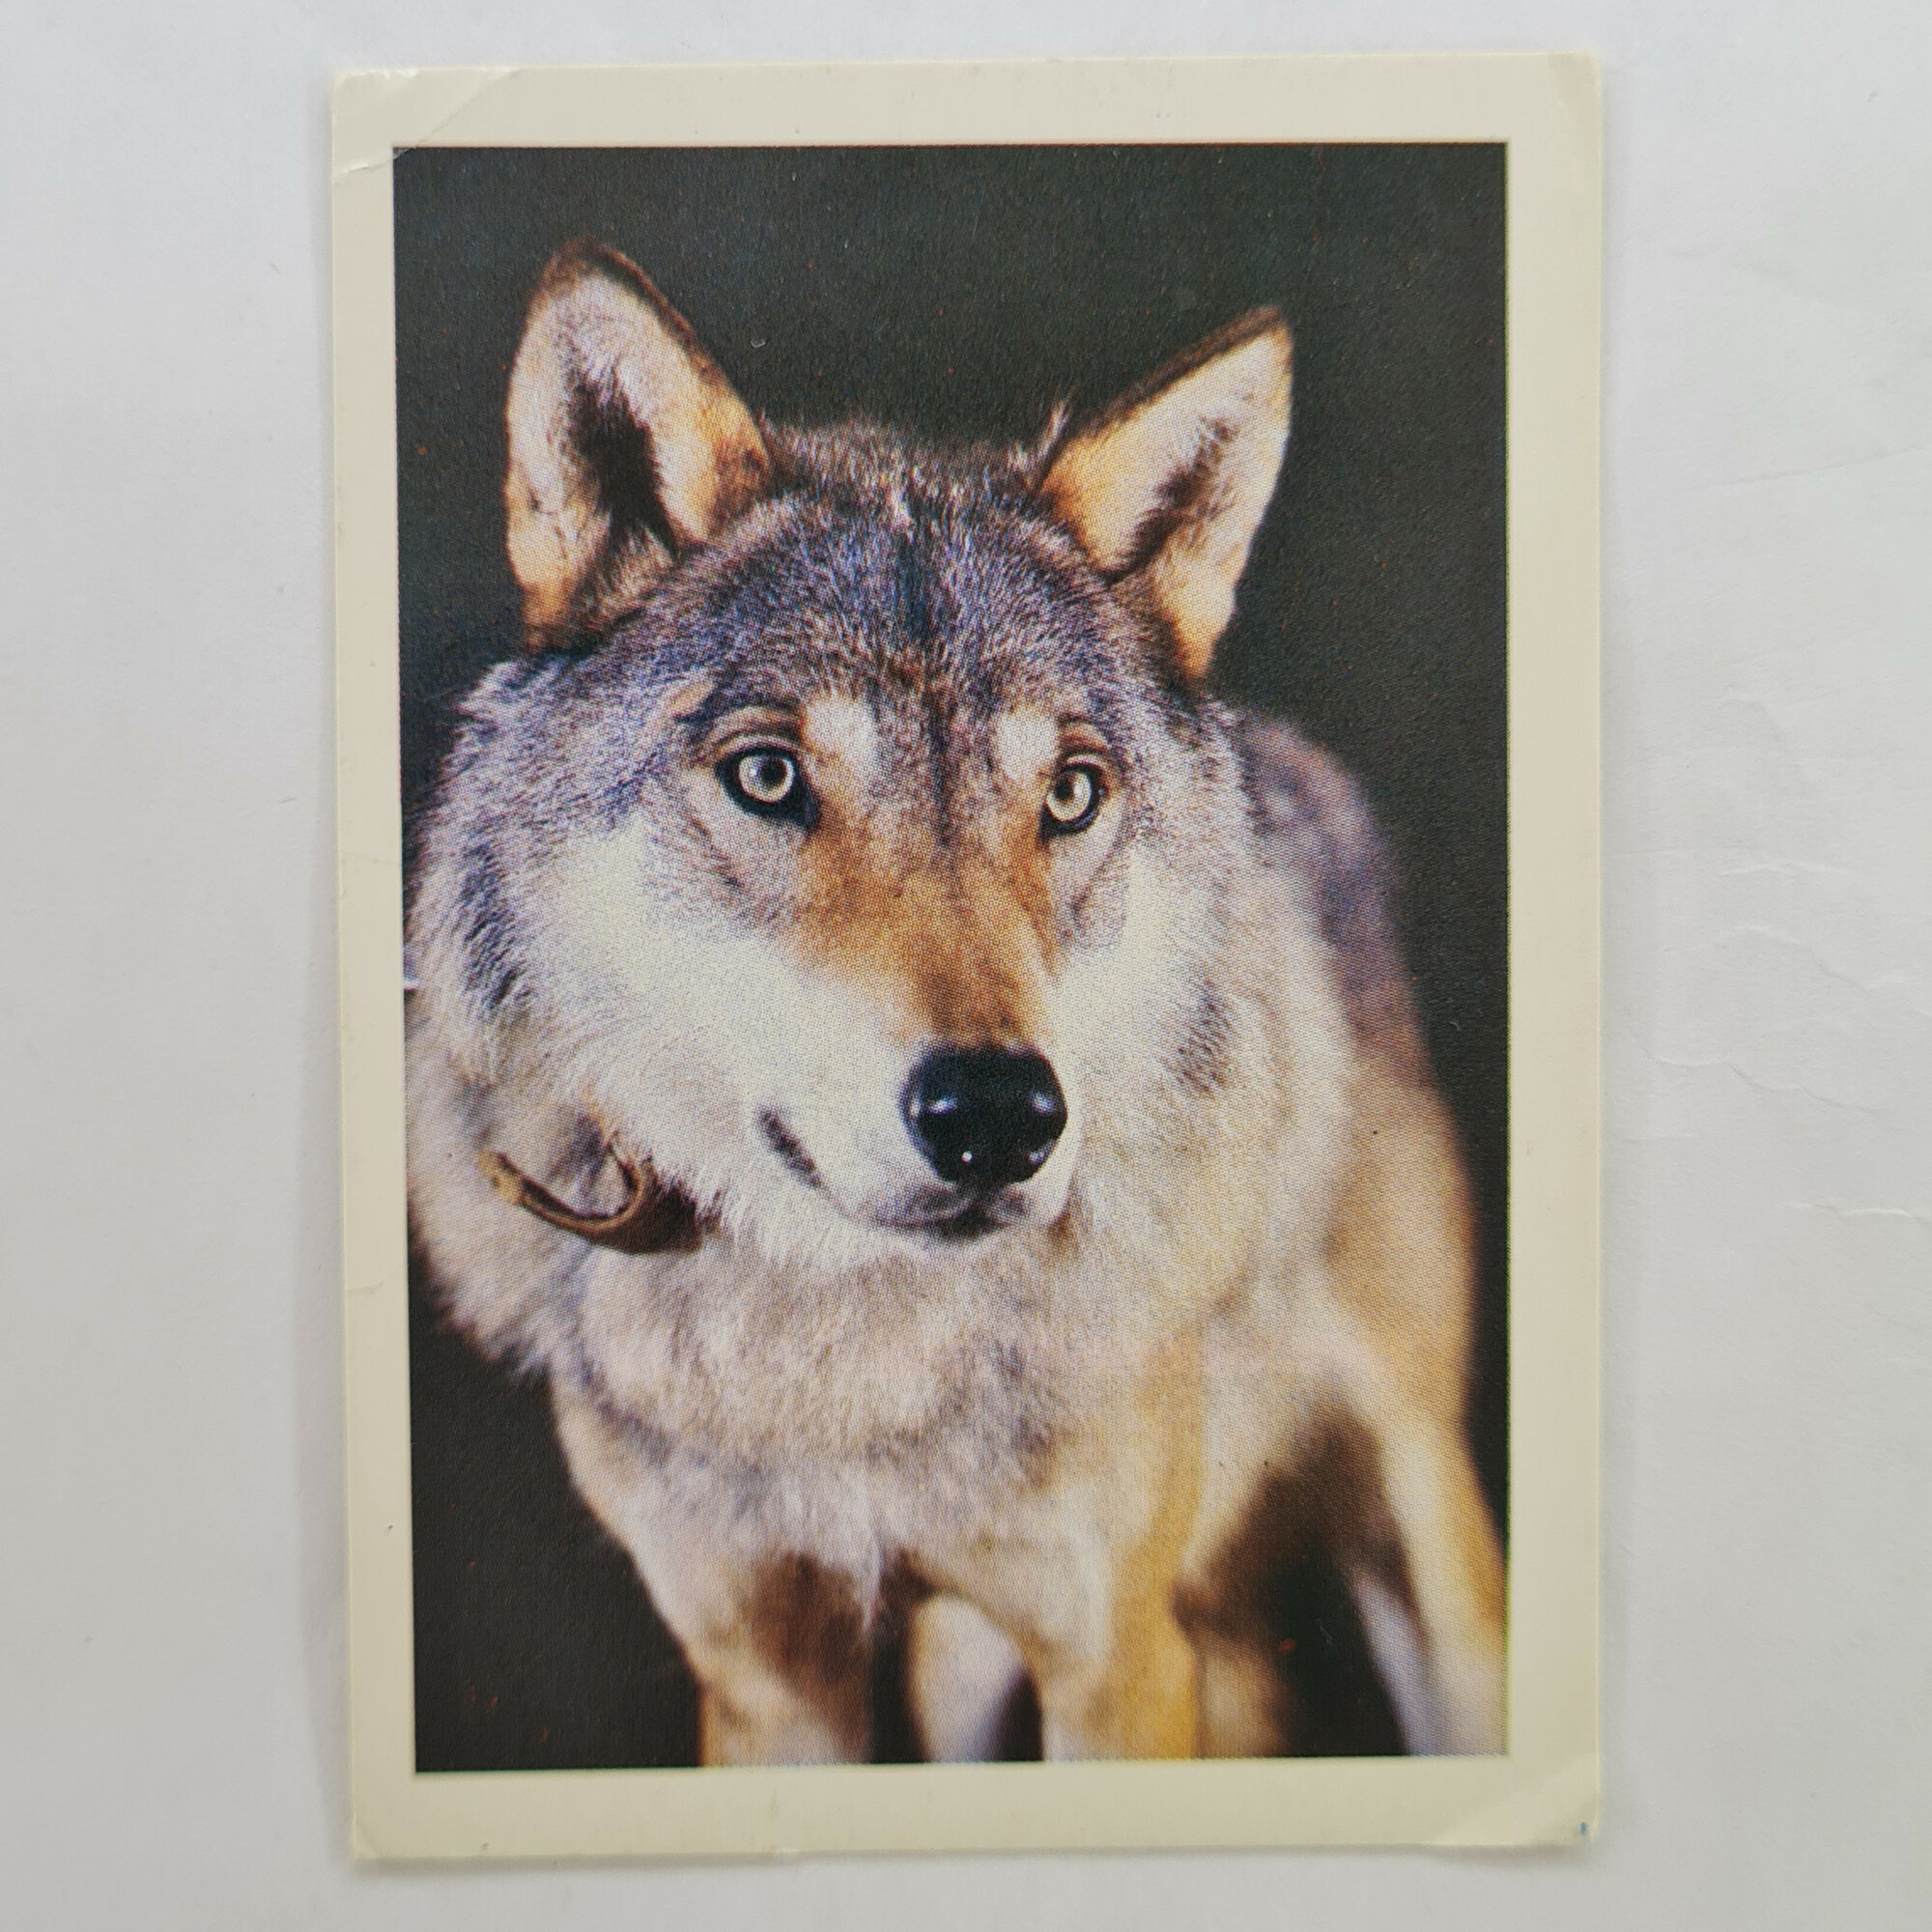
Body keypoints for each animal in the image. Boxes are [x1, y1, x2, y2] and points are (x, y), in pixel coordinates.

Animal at [405, 240, 1505, 1764]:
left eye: (1070, 795)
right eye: (767, 777)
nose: (999, 1115)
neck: (851, 1362)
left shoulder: (1114, 1655)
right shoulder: (763, 1676)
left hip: (1421, 1536)